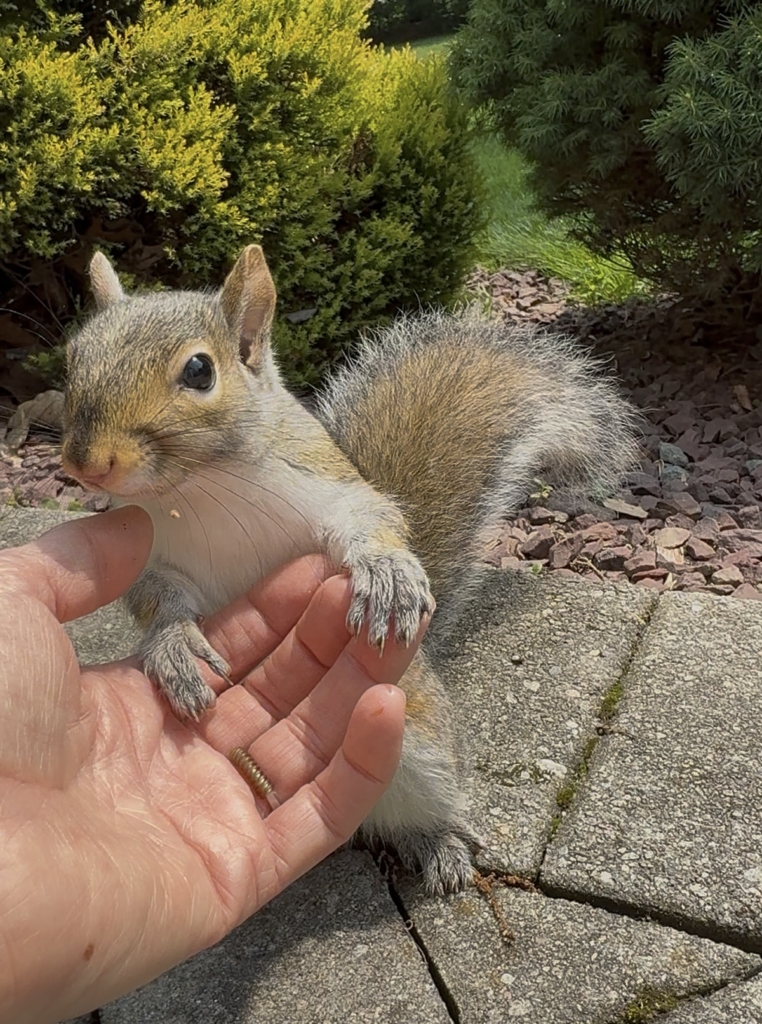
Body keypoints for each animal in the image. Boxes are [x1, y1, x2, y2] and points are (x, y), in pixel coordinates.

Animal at [59, 244, 637, 895]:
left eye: (200, 371)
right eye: (72, 356)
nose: (86, 464)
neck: (201, 491)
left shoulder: (329, 487)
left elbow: (373, 517)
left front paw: (387, 574)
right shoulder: (149, 554)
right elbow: (154, 601)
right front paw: (174, 645)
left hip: (422, 743)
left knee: (427, 802)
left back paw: (439, 843)